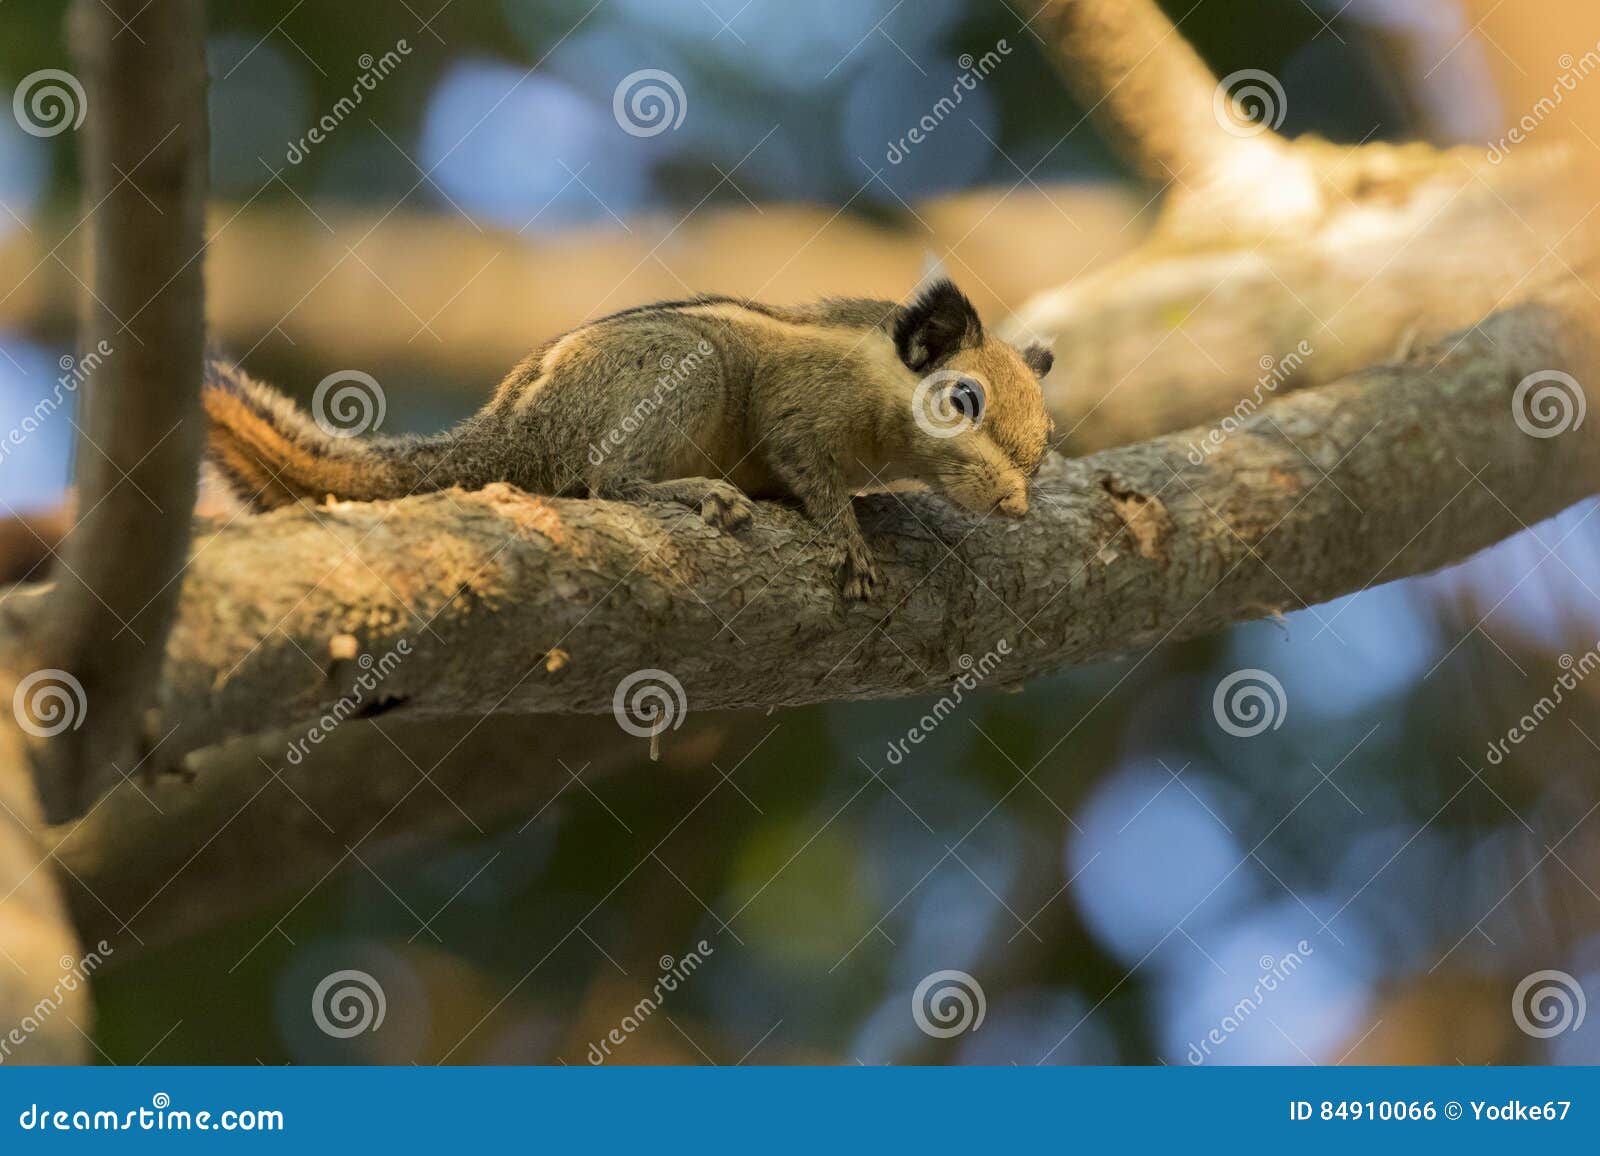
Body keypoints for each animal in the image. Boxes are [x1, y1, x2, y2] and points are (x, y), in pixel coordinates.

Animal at [202, 278, 1055, 600]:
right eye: (963, 399)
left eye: (1047, 436)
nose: (1016, 506)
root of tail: (513, 430)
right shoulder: (799, 406)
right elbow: (805, 467)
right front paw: (848, 534)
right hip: (680, 372)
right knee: (607, 479)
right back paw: (695, 490)